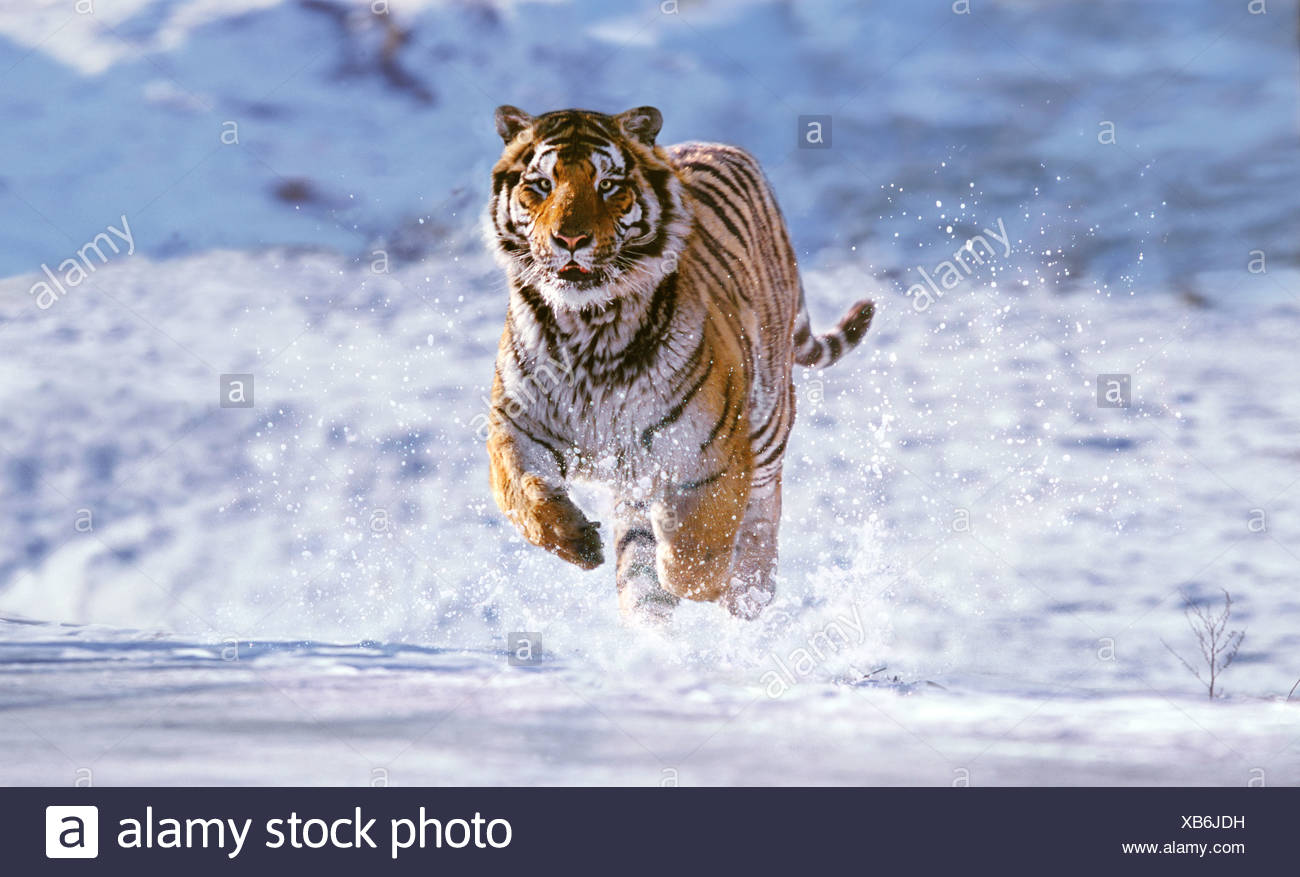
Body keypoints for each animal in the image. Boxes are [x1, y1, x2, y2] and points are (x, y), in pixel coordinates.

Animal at [484, 105, 874, 622]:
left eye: (608, 185)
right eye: (542, 185)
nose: (569, 239)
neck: (590, 330)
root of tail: (719, 145)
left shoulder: (713, 454)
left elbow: (694, 559)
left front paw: (710, 577)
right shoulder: (516, 425)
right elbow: (519, 492)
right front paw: (576, 540)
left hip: (768, 422)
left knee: (763, 513)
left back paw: (749, 594)